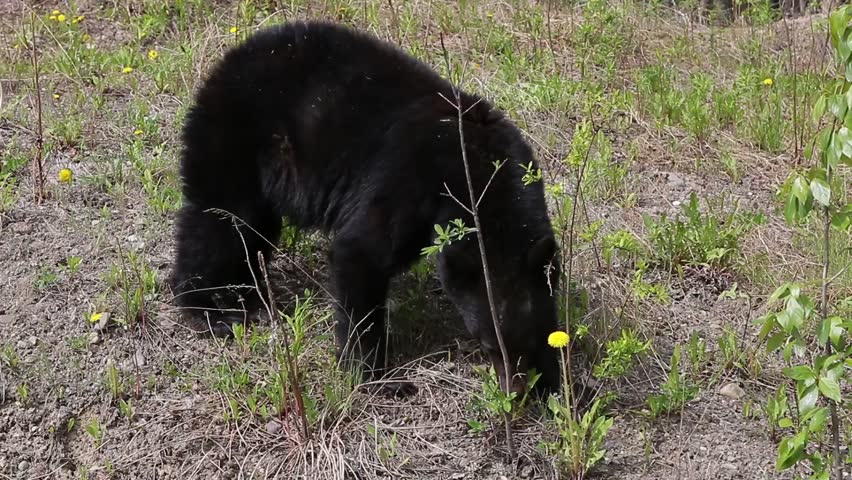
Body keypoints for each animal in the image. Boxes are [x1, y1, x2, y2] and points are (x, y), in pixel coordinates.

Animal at [170, 20, 562, 397]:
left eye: (527, 343)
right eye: (487, 344)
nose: (515, 392)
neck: (479, 172)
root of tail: (230, 57)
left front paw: (552, 381)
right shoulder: (406, 183)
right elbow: (362, 253)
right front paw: (377, 376)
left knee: (252, 232)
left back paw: (248, 294)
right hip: (237, 137)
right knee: (221, 223)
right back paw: (207, 309)